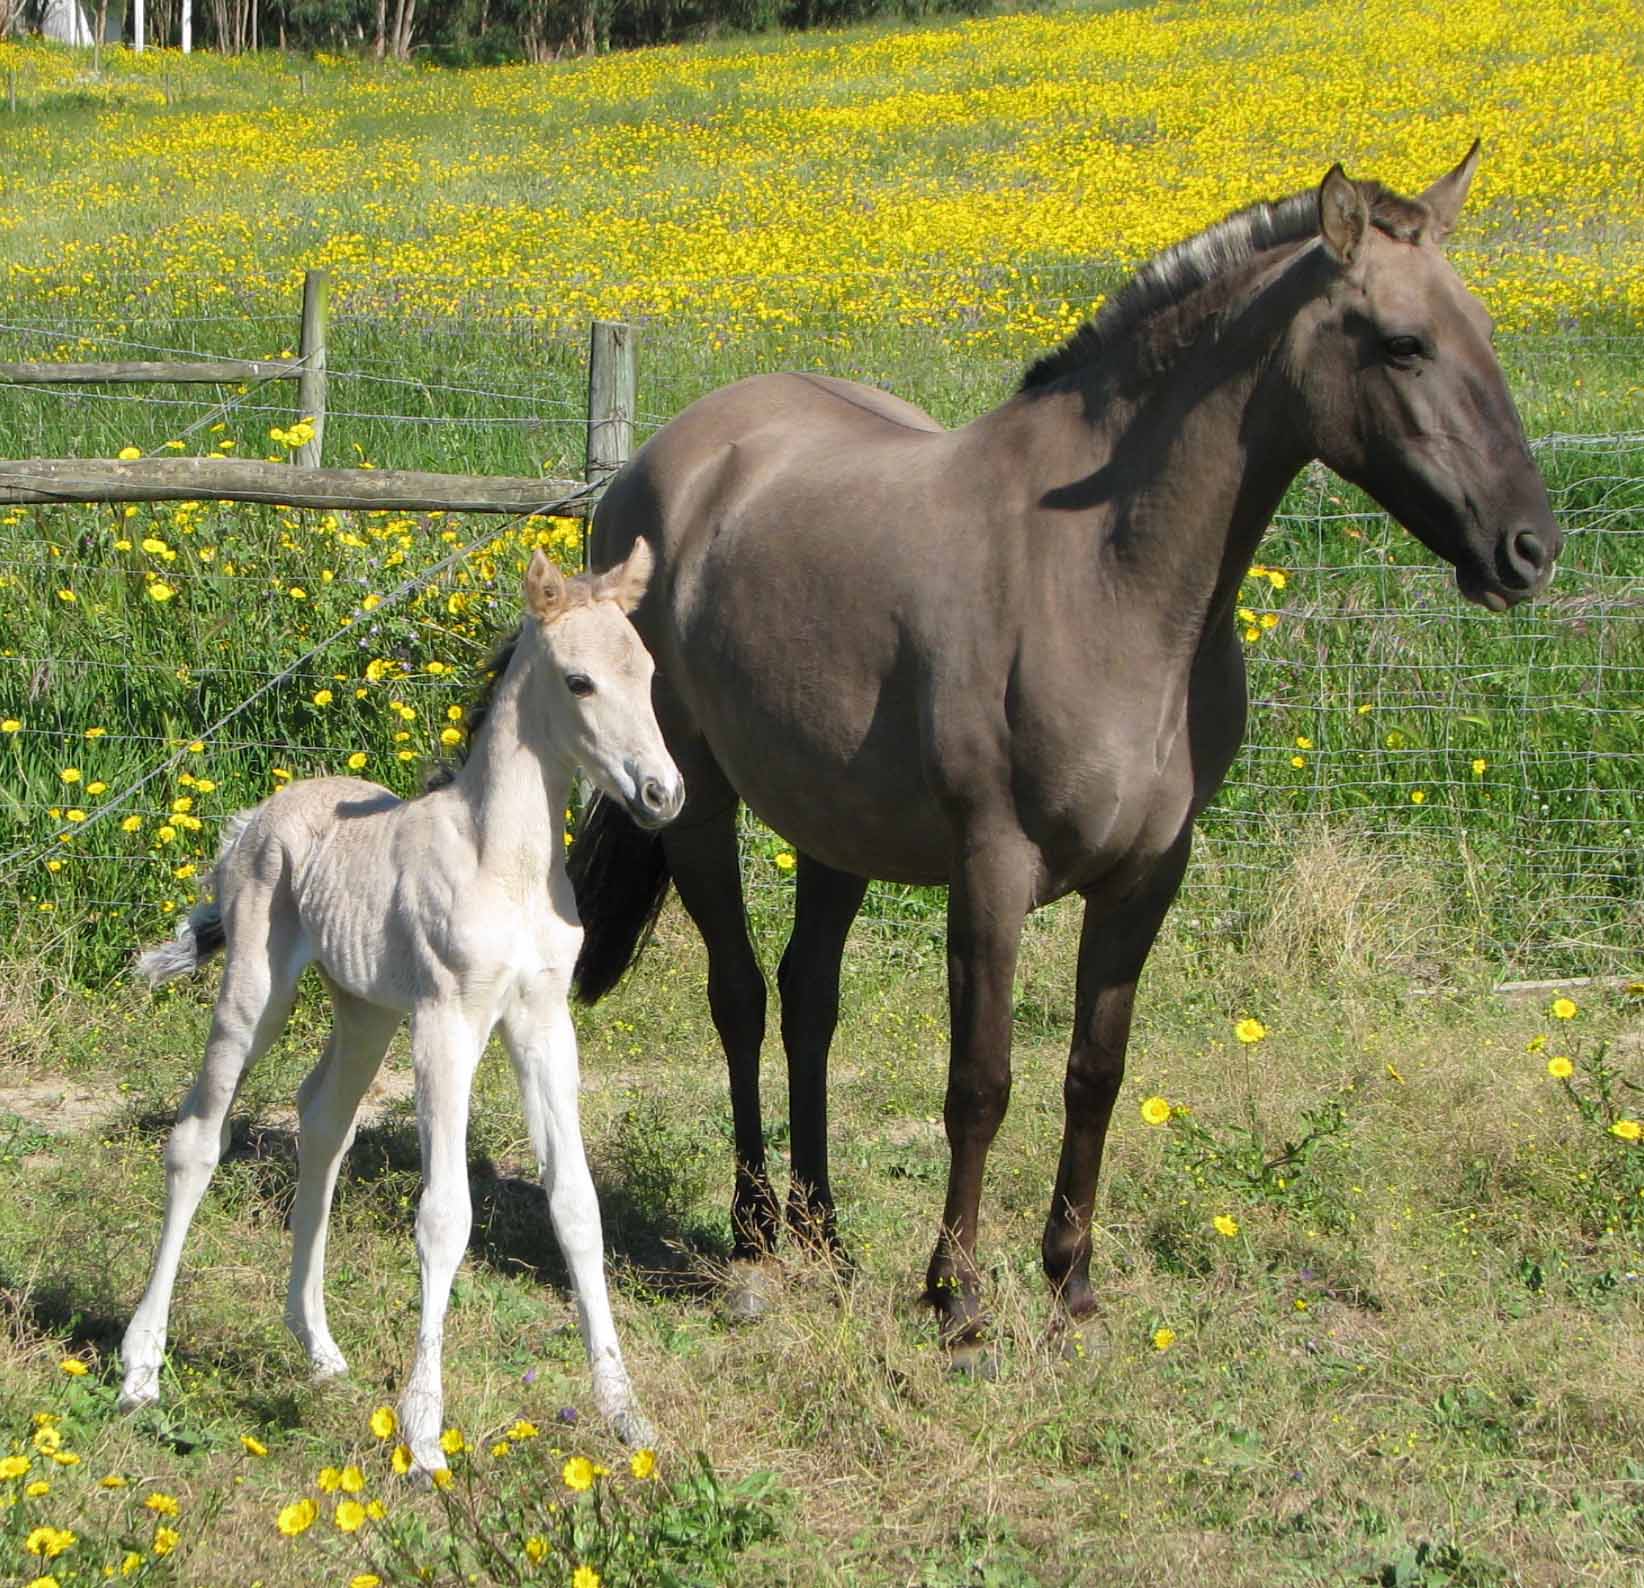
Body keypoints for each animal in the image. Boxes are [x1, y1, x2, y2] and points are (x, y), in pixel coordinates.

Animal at [119, 544, 683, 1469]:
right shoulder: (448, 1021)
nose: (662, 793)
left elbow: (576, 1206)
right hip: (258, 990)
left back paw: (316, 1347)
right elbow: (445, 1214)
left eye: (647, 671)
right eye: (579, 682)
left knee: (323, 1125)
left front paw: (626, 1412)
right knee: (198, 1138)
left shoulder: (542, 1020)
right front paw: (423, 1434)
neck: (507, 864)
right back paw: (140, 1369)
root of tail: (251, 819)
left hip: (363, 1009)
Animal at [567, 146, 1561, 1364]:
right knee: (743, 996)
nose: (1529, 548)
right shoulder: (992, 870)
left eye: (1484, 334)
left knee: (808, 1001)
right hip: (699, 803)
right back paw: (757, 1232)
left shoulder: (1148, 875)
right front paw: (958, 1297)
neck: (1104, 578)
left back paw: (825, 1231)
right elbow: (981, 1081)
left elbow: (1096, 1071)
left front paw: (1071, 1284)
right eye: (1405, 343)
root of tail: (659, 466)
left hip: (835, 826)